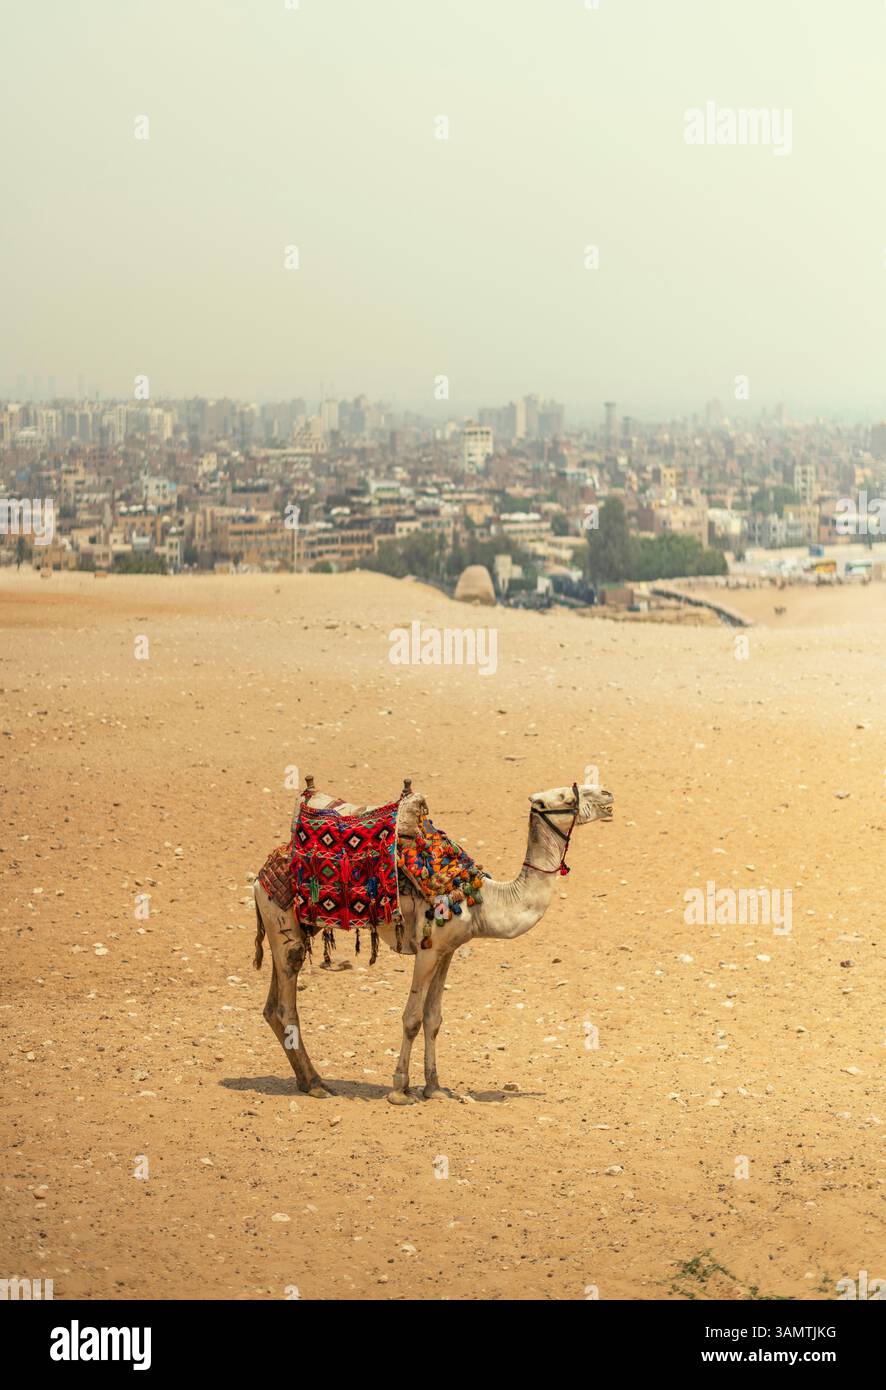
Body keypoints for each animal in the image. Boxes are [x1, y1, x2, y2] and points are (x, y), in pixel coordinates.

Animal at [252, 780, 614, 1104]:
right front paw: (400, 1089)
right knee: (287, 1006)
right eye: (567, 796)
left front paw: (434, 1088)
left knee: (271, 1008)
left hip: (293, 928)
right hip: (284, 924)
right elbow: (412, 1018)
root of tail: (261, 874)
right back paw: (316, 1084)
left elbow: (433, 1018)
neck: (480, 900)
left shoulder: (447, 951)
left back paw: (305, 1080)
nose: (608, 795)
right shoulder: (427, 950)